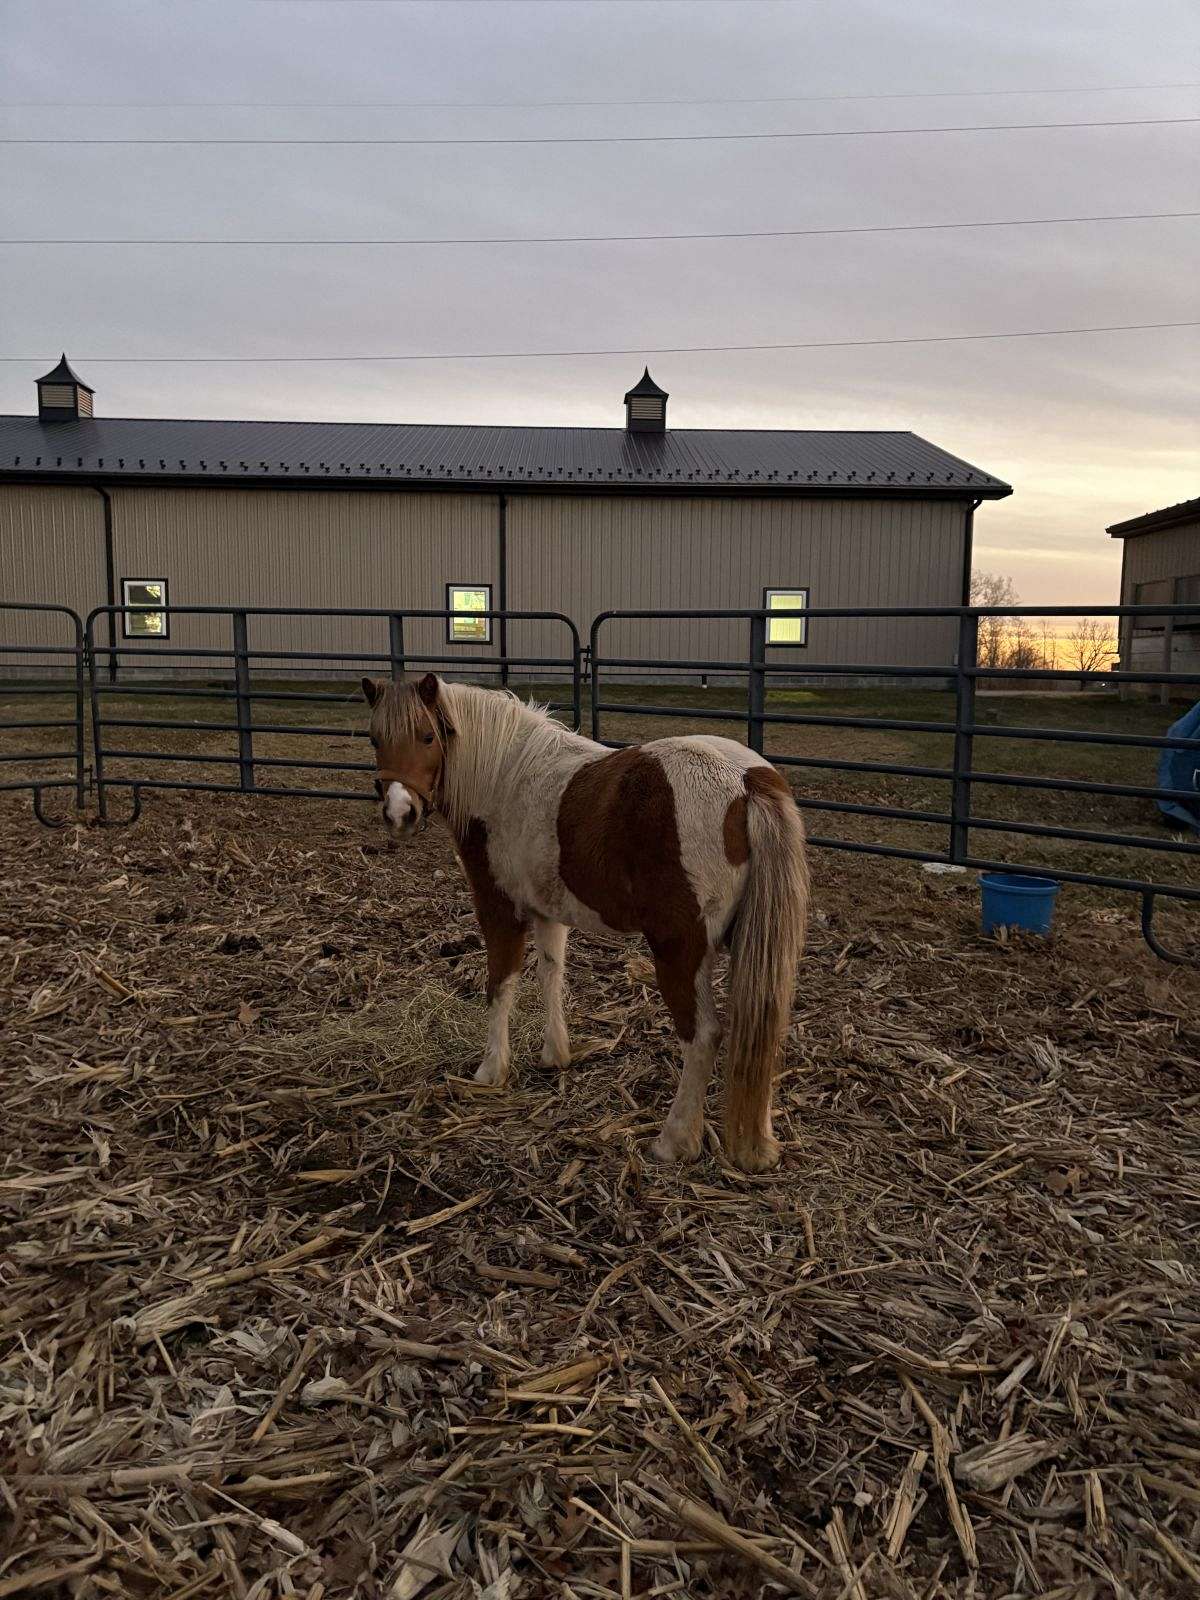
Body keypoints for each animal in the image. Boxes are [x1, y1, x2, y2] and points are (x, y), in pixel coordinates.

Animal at [361, 672, 808, 1173]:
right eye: (376, 738)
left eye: (427, 736)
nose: (399, 815)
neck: (503, 777)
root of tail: (746, 781)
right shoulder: (550, 912)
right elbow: (551, 974)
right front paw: (555, 1054)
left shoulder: (500, 909)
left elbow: (501, 984)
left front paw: (491, 1071)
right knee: (761, 1030)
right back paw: (758, 1143)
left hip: (681, 950)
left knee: (703, 1035)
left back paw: (674, 1141)